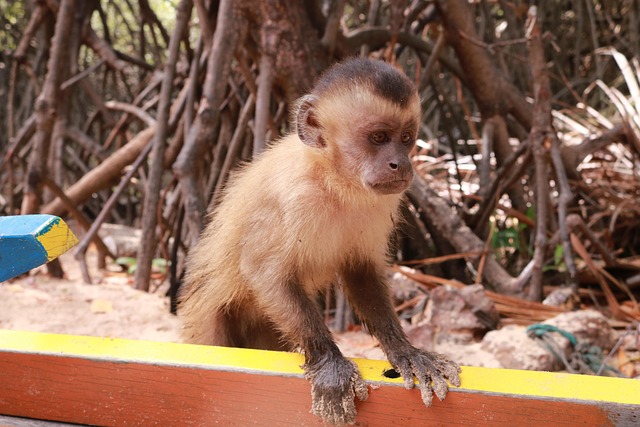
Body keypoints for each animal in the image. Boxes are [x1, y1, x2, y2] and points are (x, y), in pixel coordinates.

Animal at [179, 57, 461, 425]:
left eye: (406, 138)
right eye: (379, 137)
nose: (400, 163)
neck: (333, 178)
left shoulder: (383, 201)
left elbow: (361, 270)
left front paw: (405, 351)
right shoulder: (292, 195)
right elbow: (263, 272)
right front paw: (329, 363)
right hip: (207, 323)